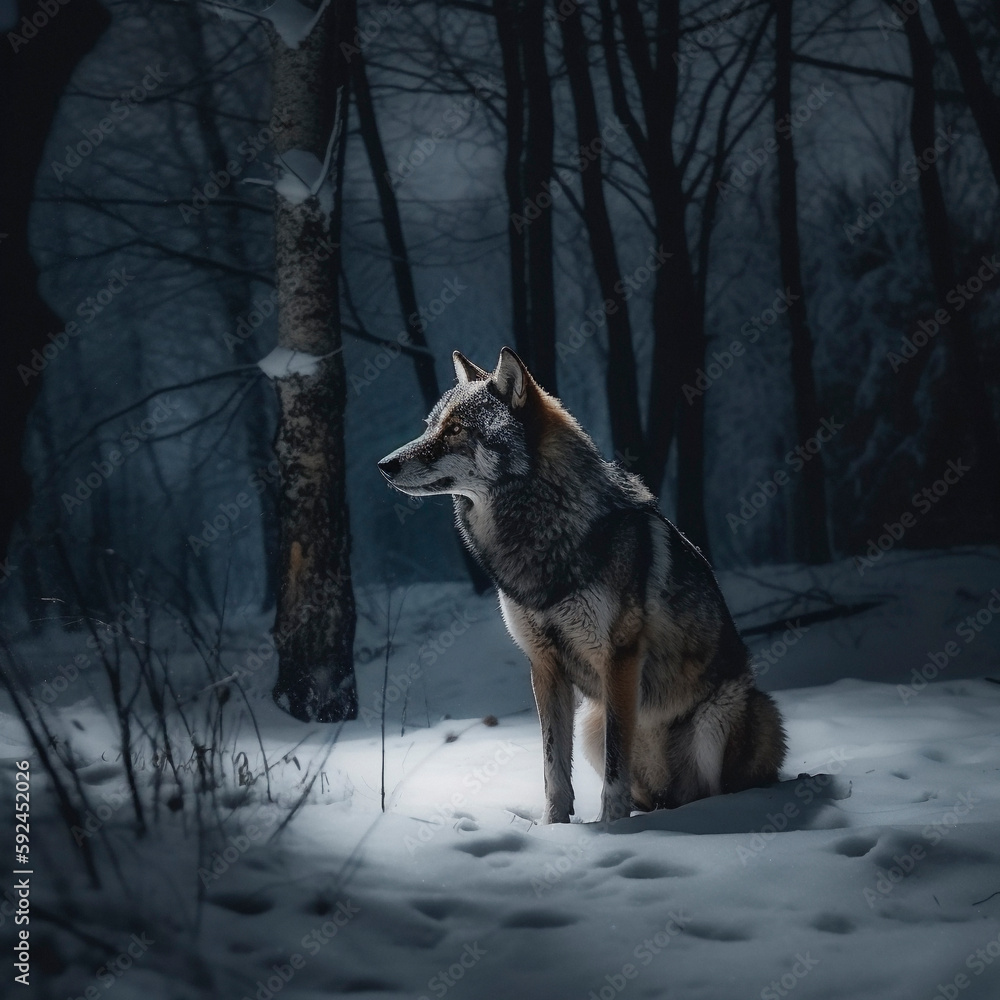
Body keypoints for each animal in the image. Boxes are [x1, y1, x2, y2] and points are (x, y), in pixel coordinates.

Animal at [378, 348, 786, 823]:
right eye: (430, 426)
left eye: (457, 428)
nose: (384, 465)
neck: (541, 534)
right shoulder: (543, 665)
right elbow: (553, 764)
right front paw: (554, 826)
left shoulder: (619, 659)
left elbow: (615, 764)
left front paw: (610, 827)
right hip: (593, 722)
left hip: (715, 719)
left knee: (713, 792)